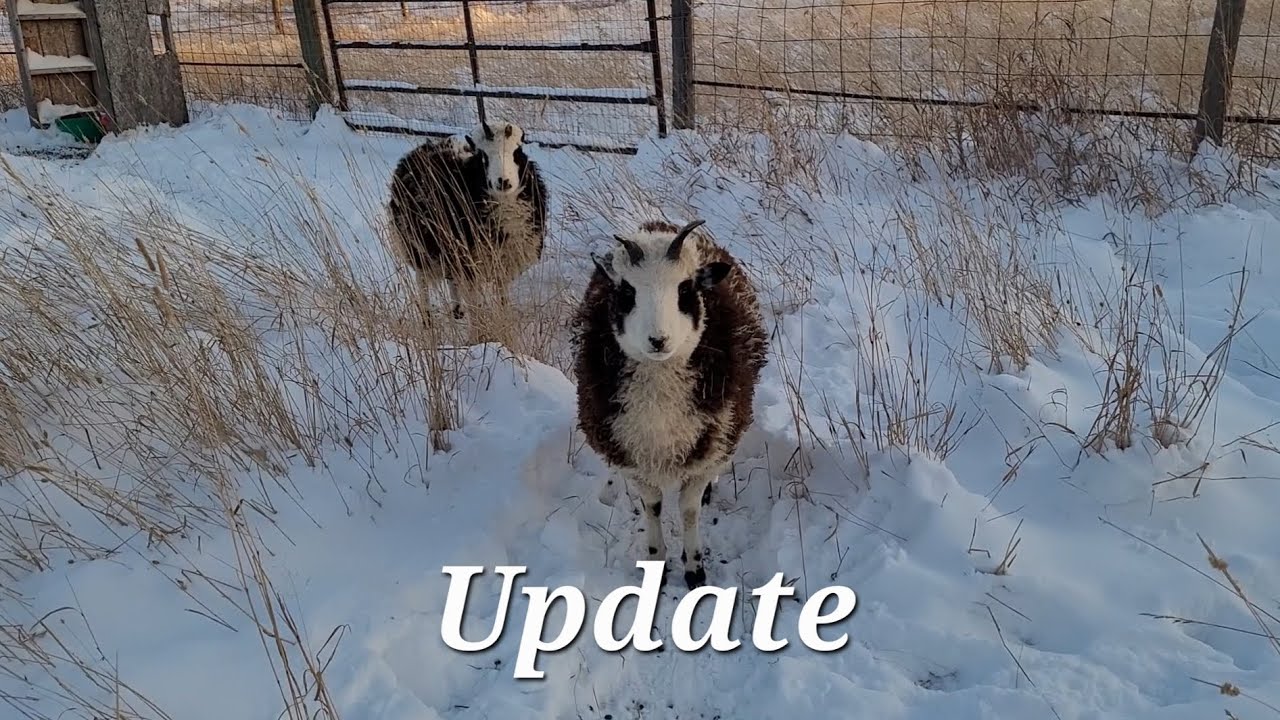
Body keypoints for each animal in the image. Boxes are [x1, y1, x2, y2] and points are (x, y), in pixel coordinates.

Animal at [386, 120, 549, 319]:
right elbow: (476, 308)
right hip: (417, 249)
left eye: (517, 152)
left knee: (452, 283)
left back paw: (457, 312)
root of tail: (429, 145)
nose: (503, 182)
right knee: (423, 287)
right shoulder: (471, 267)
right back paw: (428, 319)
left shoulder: (502, 265)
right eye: (483, 156)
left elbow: (502, 301)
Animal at [571, 218, 769, 590]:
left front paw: (694, 568)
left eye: (685, 289)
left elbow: (689, 510)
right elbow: (653, 507)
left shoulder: (706, 450)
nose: (658, 340)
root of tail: (656, 225)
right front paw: (656, 561)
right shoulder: (634, 455)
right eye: (627, 292)